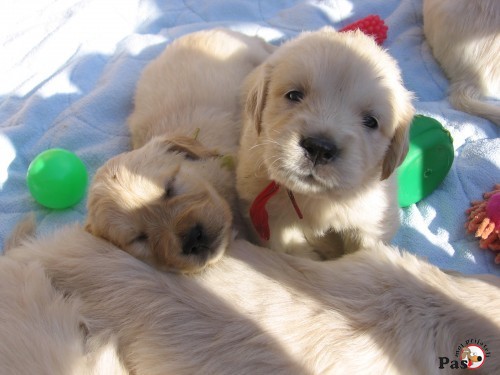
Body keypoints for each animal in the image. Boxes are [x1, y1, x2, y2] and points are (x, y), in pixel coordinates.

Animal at [237, 27, 414, 260]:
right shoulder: (269, 219)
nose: (319, 148)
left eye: (370, 121)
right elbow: (289, 249)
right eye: (294, 95)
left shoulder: (373, 220)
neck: (316, 199)